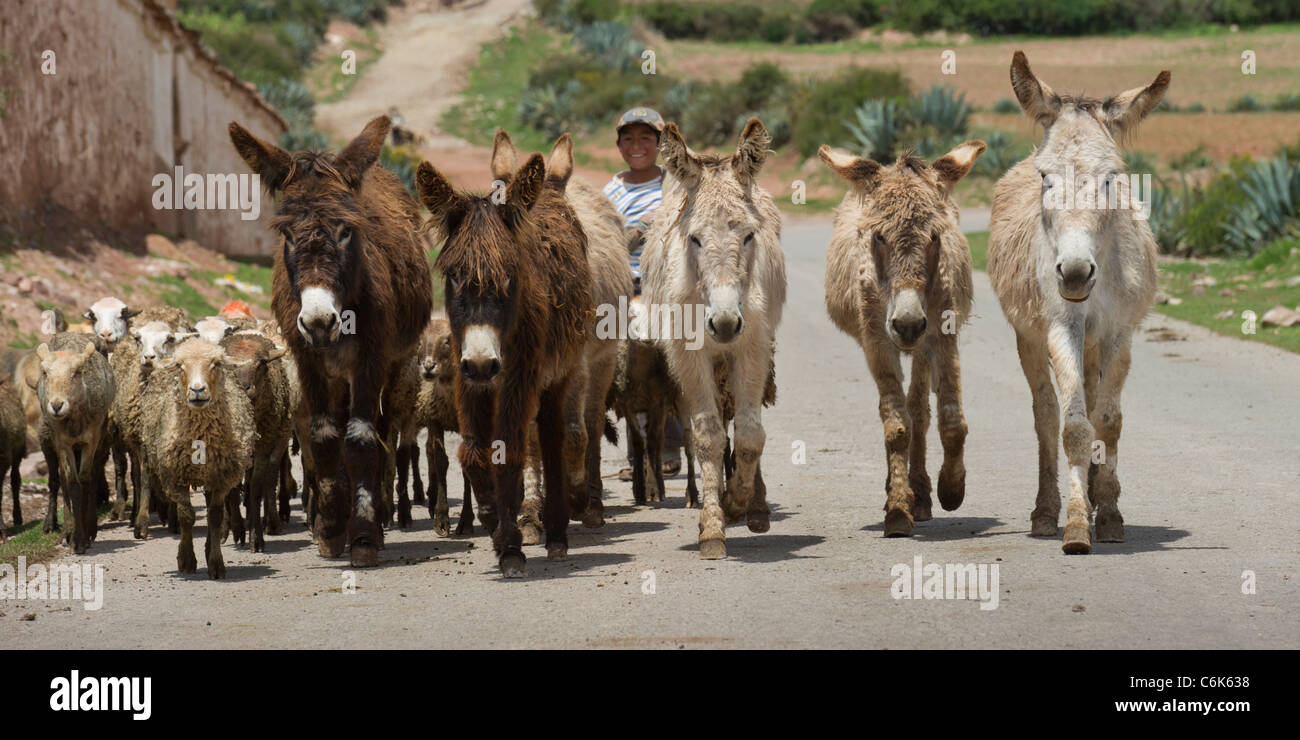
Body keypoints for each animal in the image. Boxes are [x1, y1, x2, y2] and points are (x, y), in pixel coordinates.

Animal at [28, 333, 114, 554]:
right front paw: (76, 538)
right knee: (61, 479)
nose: (57, 405)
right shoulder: (62, 442)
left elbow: (85, 480)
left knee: (93, 476)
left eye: (76, 372)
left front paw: (85, 534)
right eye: (45, 372)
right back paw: (64, 529)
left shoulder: (91, 440)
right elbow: (72, 483)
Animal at [140, 337, 256, 578]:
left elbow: (215, 517)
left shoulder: (221, 479)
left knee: (213, 512)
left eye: (216, 364)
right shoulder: (176, 477)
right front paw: (186, 560)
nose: (197, 390)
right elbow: (186, 516)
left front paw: (216, 563)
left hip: (211, 476)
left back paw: (210, 547)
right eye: (180, 366)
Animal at [219, 331, 290, 553]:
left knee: (264, 480)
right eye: (229, 365)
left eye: (260, 364)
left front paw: (255, 538)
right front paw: (236, 529)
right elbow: (231, 490)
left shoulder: (263, 448)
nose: (245, 388)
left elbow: (257, 488)